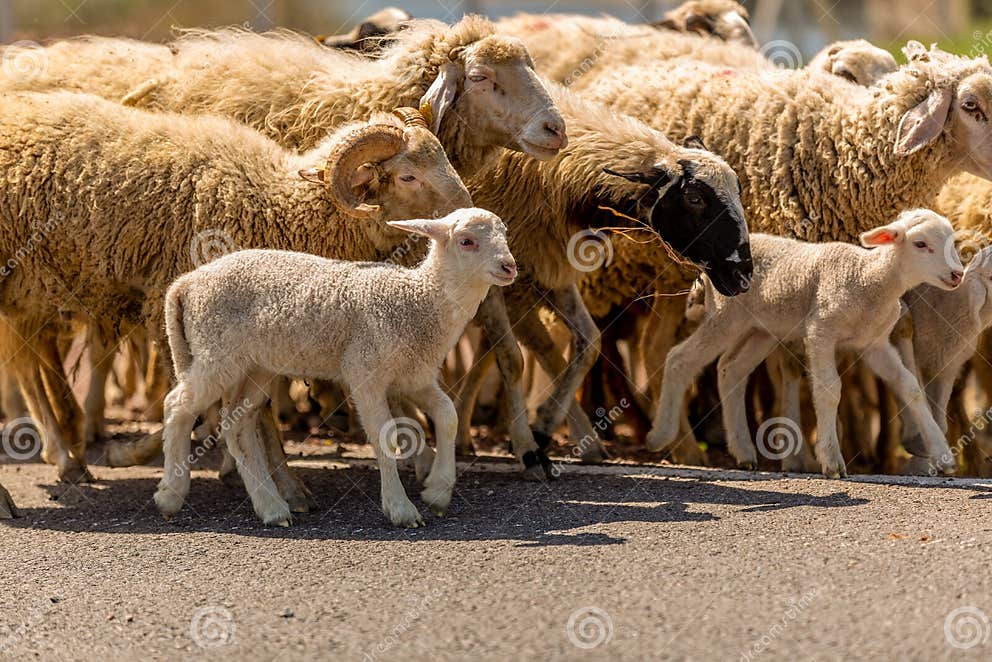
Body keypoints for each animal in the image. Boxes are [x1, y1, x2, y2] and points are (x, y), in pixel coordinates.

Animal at [0, 91, 470, 509]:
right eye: (408, 176)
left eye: (444, 158)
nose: (469, 211)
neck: (275, 205)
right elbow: (249, 412)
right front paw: (286, 488)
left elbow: (251, 407)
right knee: (25, 362)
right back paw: (57, 459)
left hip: (25, 290)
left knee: (24, 360)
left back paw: (65, 453)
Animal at [155, 208, 515, 527]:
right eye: (467, 241)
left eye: (505, 234)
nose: (509, 266)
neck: (416, 301)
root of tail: (186, 283)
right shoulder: (364, 371)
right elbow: (386, 438)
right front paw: (400, 509)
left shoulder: (415, 377)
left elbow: (448, 417)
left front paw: (438, 491)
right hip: (216, 353)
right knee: (177, 405)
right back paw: (171, 495)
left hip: (255, 365)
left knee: (237, 425)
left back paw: (271, 507)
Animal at [649, 210, 964, 477]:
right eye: (921, 244)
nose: (957, 274)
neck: (869, 278)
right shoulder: (821, 330)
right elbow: (829, 390)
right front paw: (831, 460)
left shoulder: (873, 344)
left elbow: (911, 387)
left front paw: (944, 456)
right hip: (725, 316)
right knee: (679, 359)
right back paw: (661, 436)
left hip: (760, 329)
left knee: (730, 369)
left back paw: (743, 452)